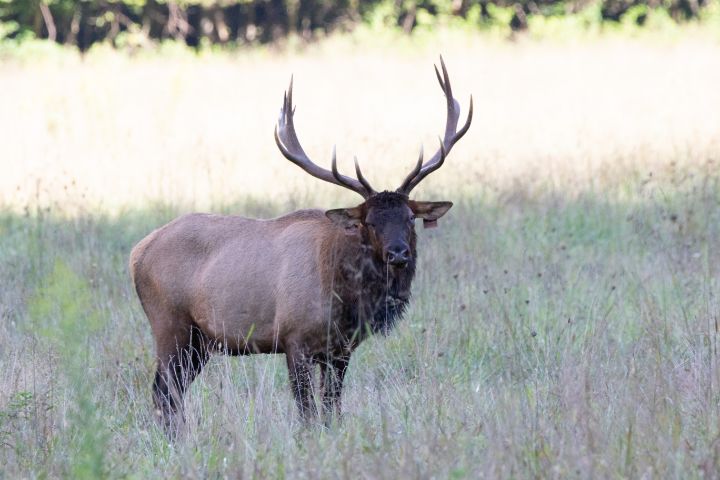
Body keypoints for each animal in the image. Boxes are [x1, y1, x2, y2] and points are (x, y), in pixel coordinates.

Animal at [129, 57, 472, 432]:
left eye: (409, 218)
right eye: (369, 222)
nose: (399, 254)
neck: (345, 297)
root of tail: (137, 253)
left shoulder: (340, 350)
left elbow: (332, 407)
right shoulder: (295, 340)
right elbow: (307, 411)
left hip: (200, 341)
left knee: (170, 393)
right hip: (170, 324)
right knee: (163, 392)